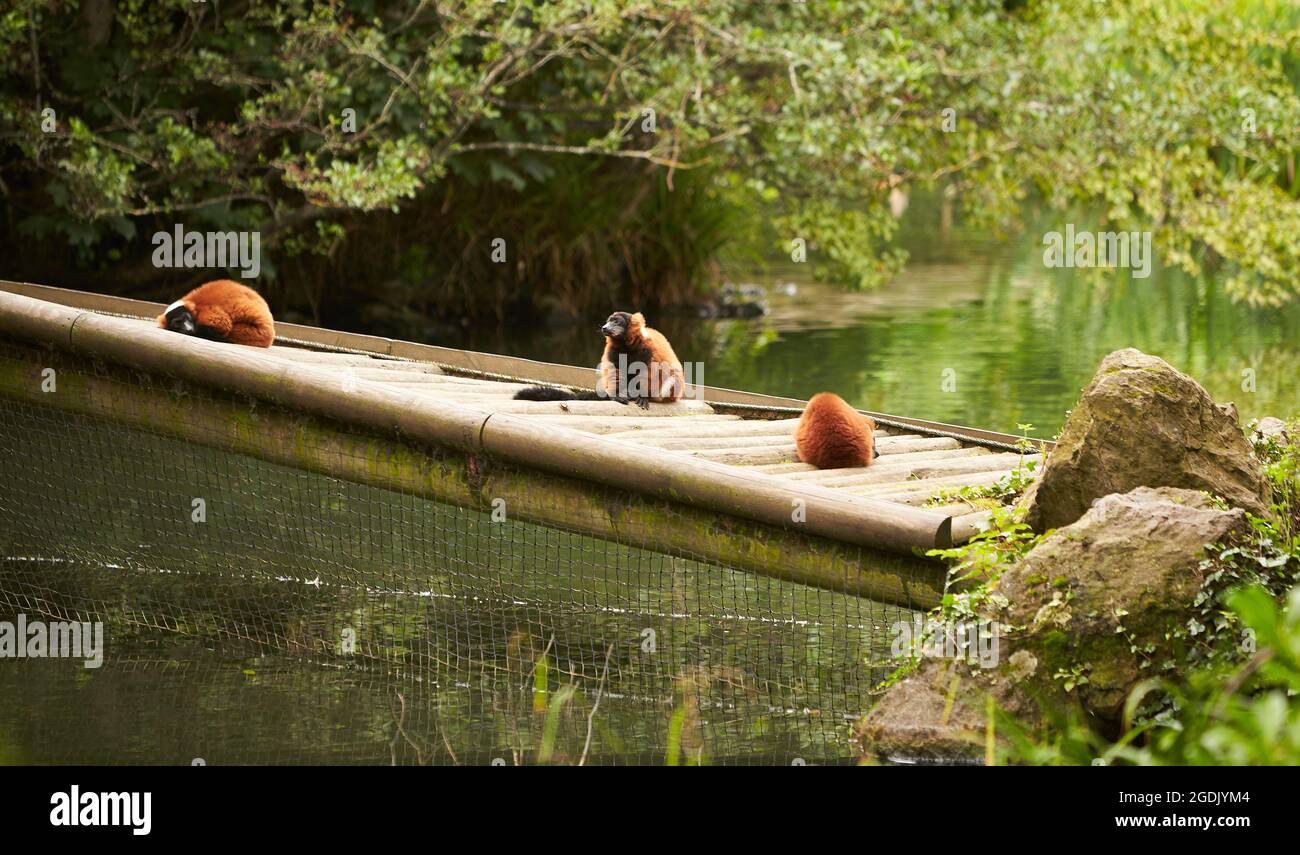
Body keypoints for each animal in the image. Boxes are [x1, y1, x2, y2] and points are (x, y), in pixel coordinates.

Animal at [514, 311, 685, 409]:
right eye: (608, 321)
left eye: (616, 322)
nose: (605, 327)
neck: (627, 344)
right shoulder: (612, 350)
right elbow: (614, 370)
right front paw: (616, 395)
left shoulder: (649, 348)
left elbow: (653, 370)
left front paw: (643, 396)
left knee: (670, 378)